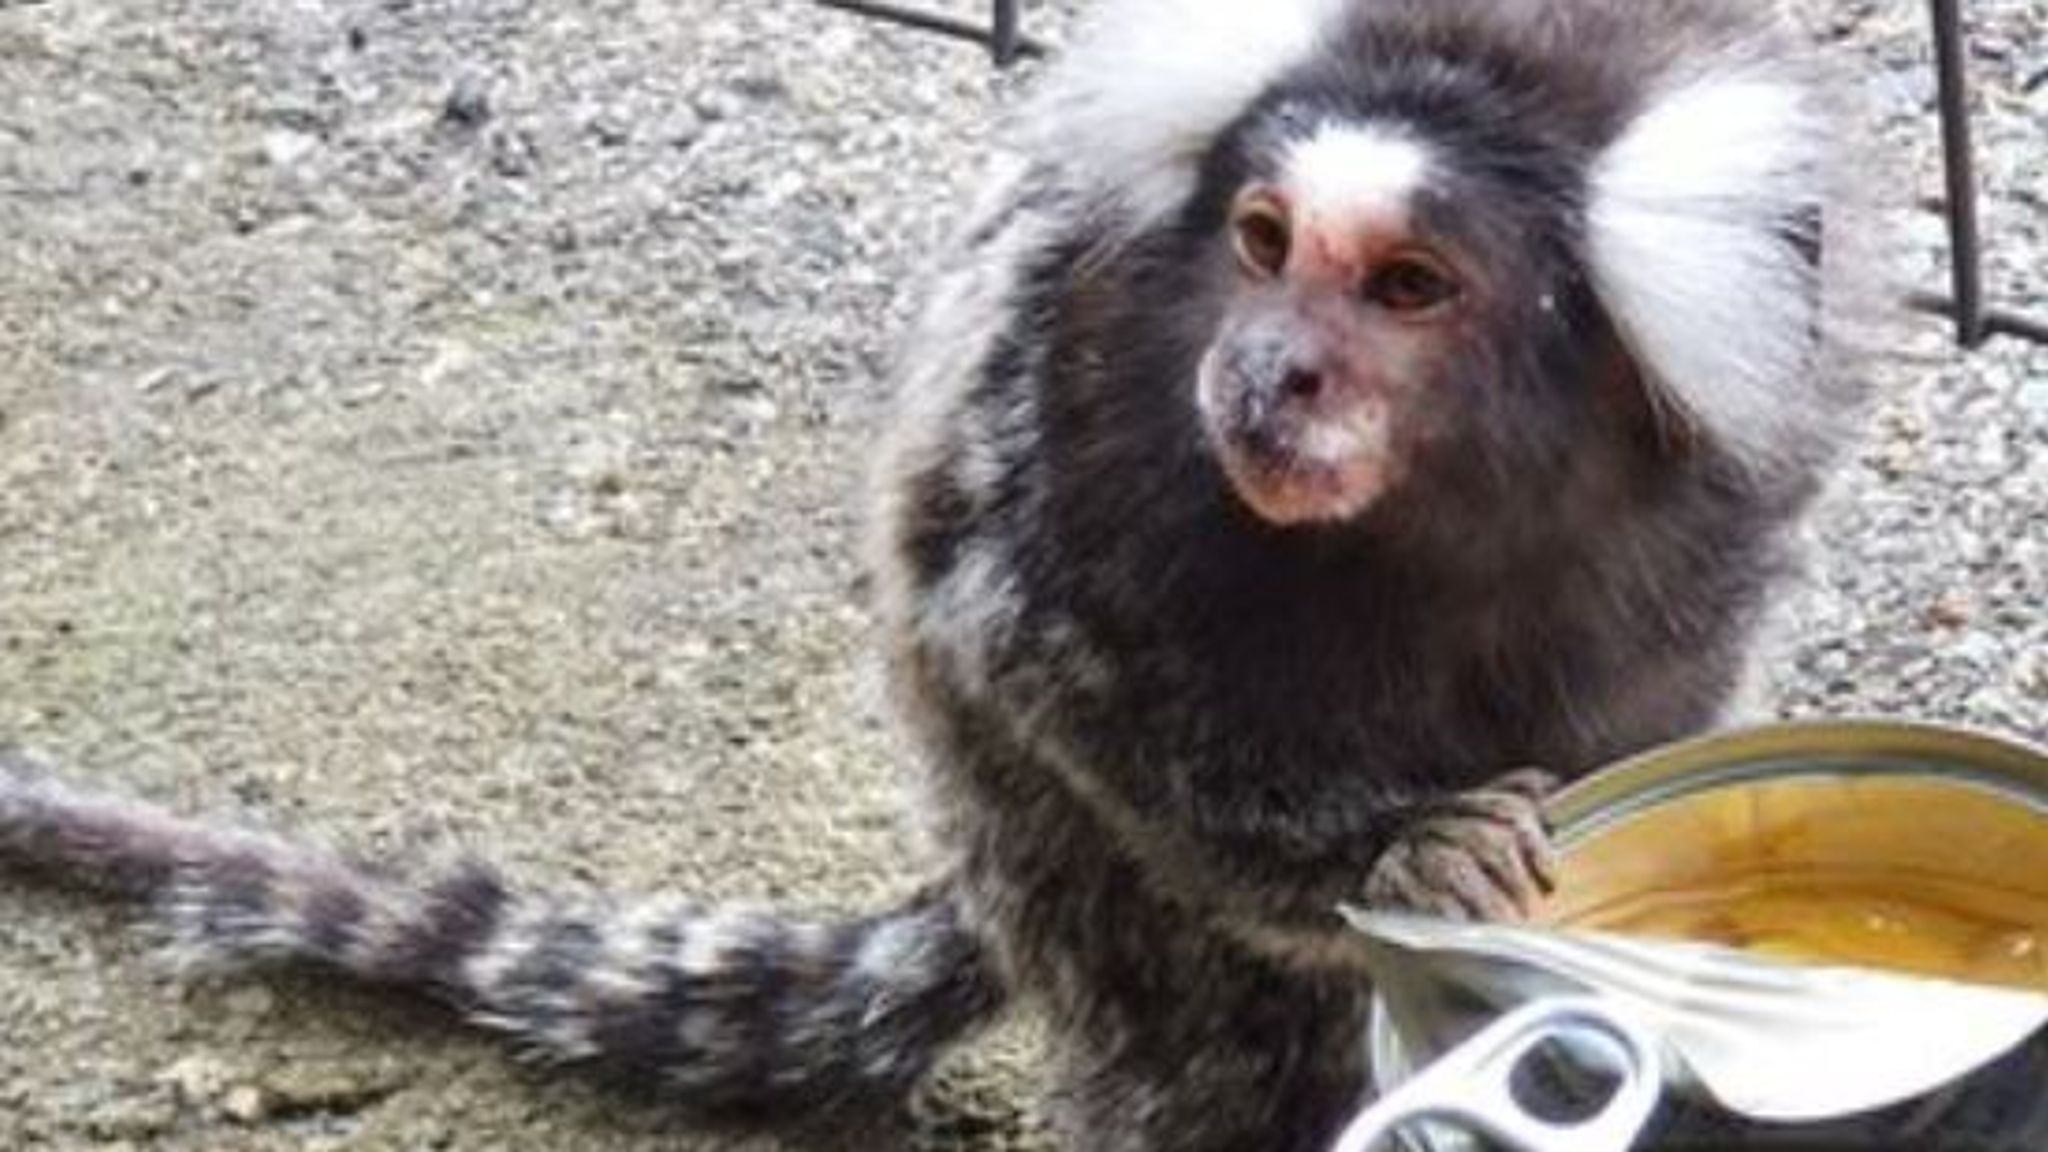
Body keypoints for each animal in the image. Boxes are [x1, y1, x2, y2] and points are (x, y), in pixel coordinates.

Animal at [0, 1, 1869, 1149]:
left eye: (1409, 286)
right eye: (1262, 242)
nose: (1268, 376)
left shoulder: (1703, 519)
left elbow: (1660, 719)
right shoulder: (1069, 402)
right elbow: (1059, 668)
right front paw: (1398, 850)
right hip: (1060, 878)